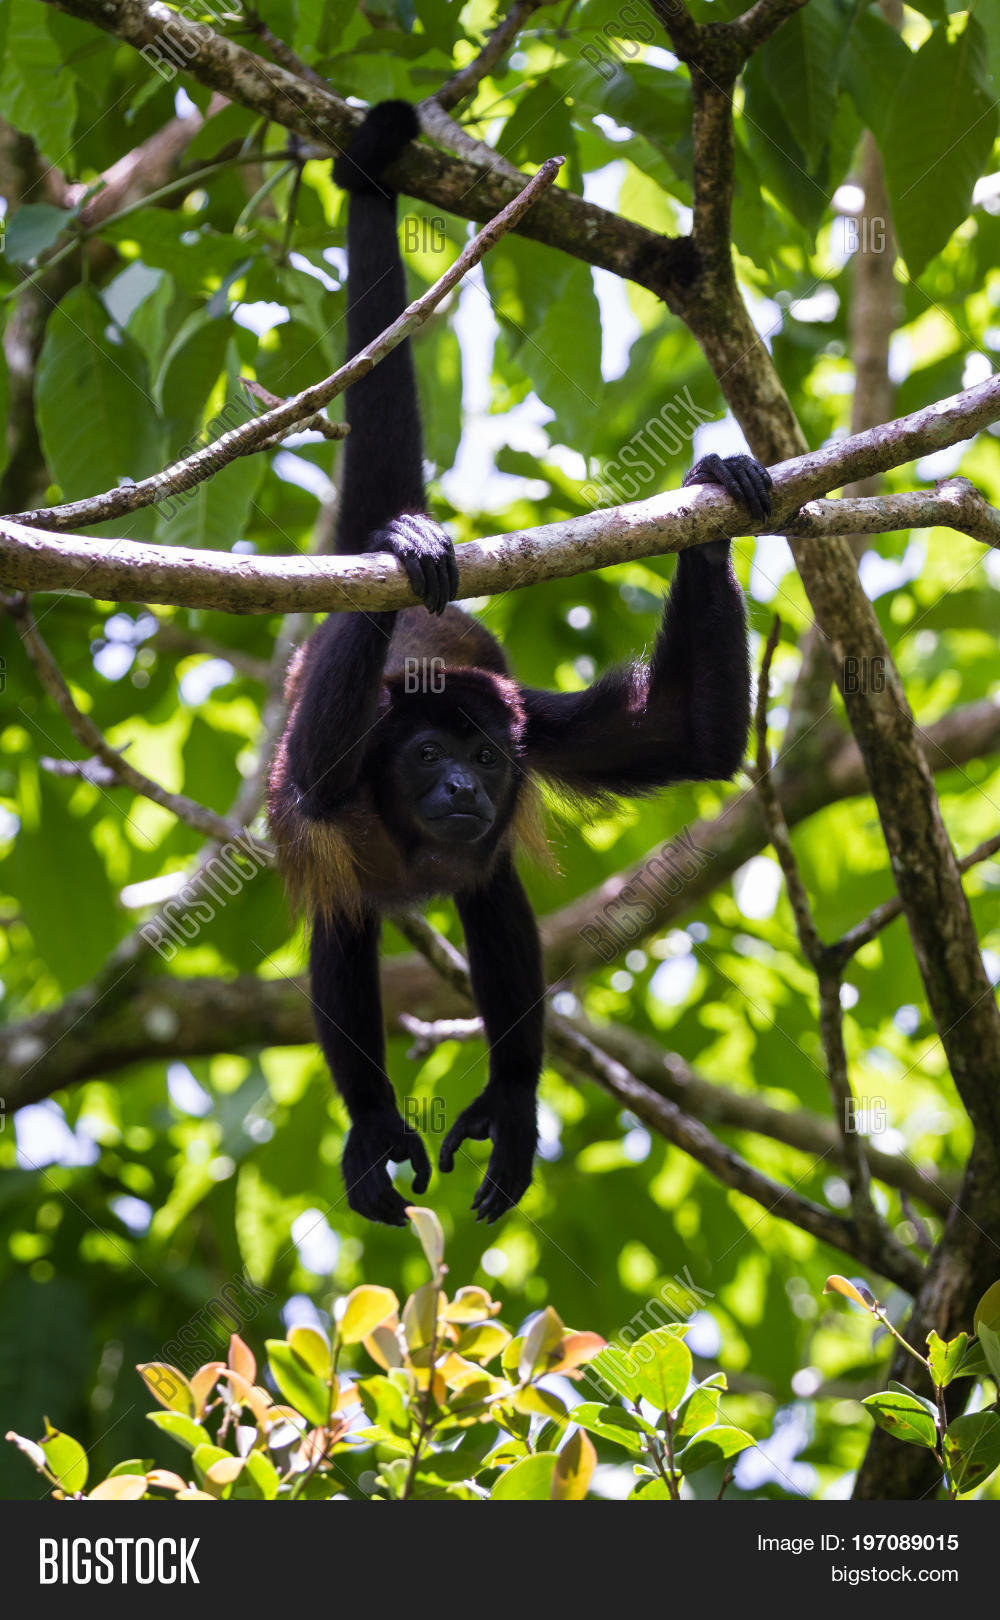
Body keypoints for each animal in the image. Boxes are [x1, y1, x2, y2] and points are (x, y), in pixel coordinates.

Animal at [268, 101, 772, 1227]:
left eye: (485, 763)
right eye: (424, 759)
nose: (463, 787)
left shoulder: (533, 727)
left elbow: (689, 732)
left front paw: (712, 493)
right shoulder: (360, 756)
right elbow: (318, 791)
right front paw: (402, 542)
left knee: (493, 896)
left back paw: (510, 1098)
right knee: (344, 919)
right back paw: (376, 1126)